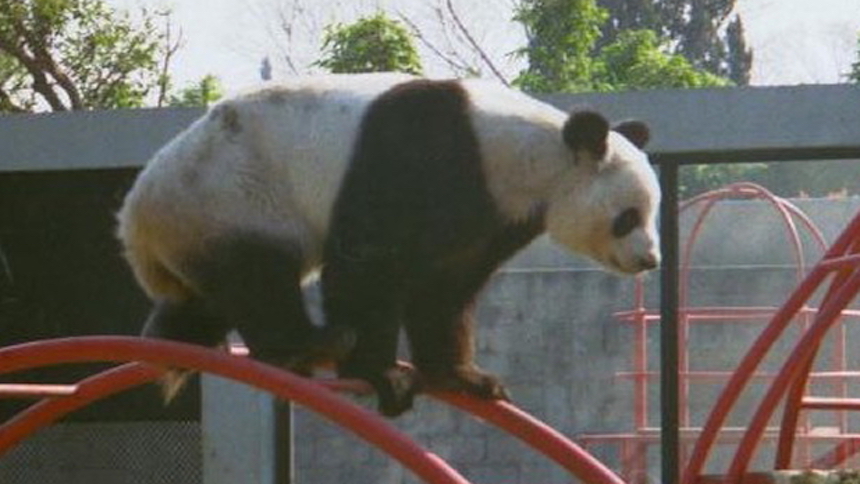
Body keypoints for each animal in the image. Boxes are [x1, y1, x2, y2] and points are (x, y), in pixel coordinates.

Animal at [117, 73, 661, 417]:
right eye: (628, 217)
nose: (650, 259)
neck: (530, 153)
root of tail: (135, 222)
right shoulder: (420, 153)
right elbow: (368, 259)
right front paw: (382, 375)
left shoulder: (492, 213)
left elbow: (446, 286)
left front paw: (465, 376)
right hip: (229, 199)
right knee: (259, 275)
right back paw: (311, 343)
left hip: (196, 229)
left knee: (207, 299)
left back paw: (170, 343)